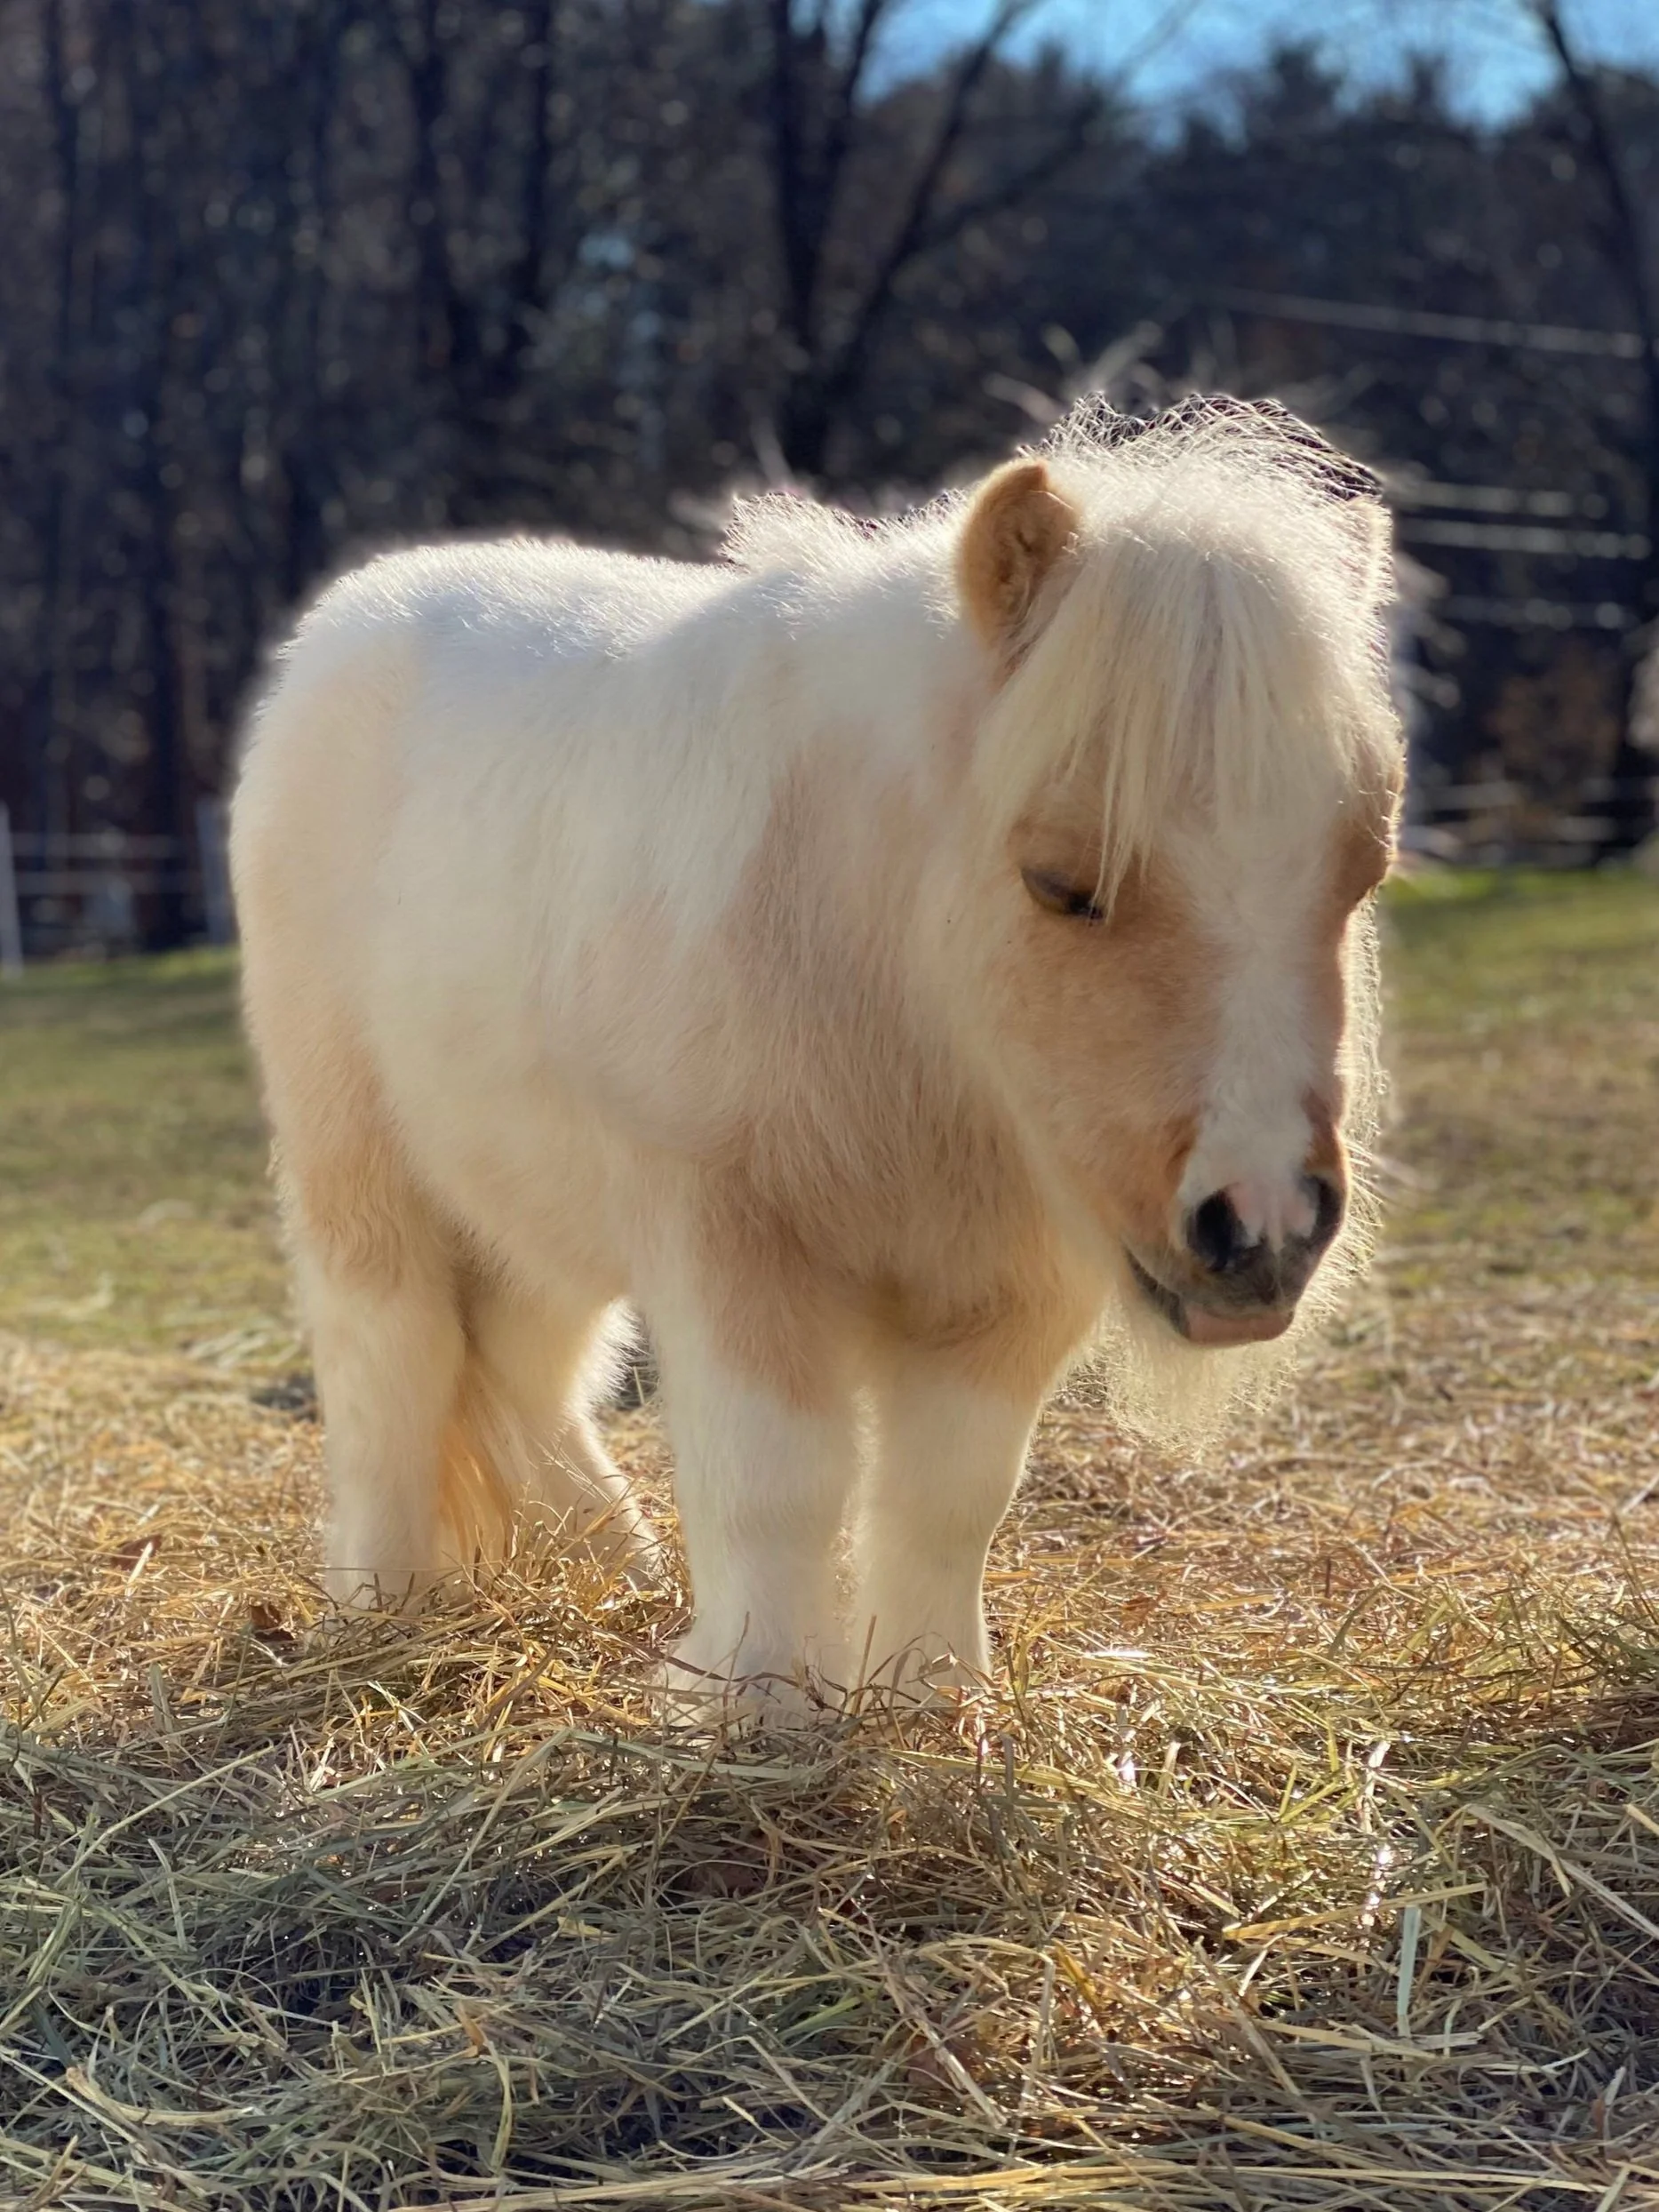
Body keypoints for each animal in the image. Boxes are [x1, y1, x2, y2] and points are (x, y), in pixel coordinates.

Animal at [230, 394, 1402, 1713]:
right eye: (1061, 882)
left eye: (1359, 870)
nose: (1261, 1227)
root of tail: (349, 623)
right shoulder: (727, 1242)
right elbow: (774, 1483)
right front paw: (755, 1704)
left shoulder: (1009, 1280)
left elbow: (948, 1498)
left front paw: (928, 1697)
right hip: (360, 1171)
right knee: (392, 1358)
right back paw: (378, 1608)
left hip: (527, 1204)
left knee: (523, 1374)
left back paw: (623, 1576)